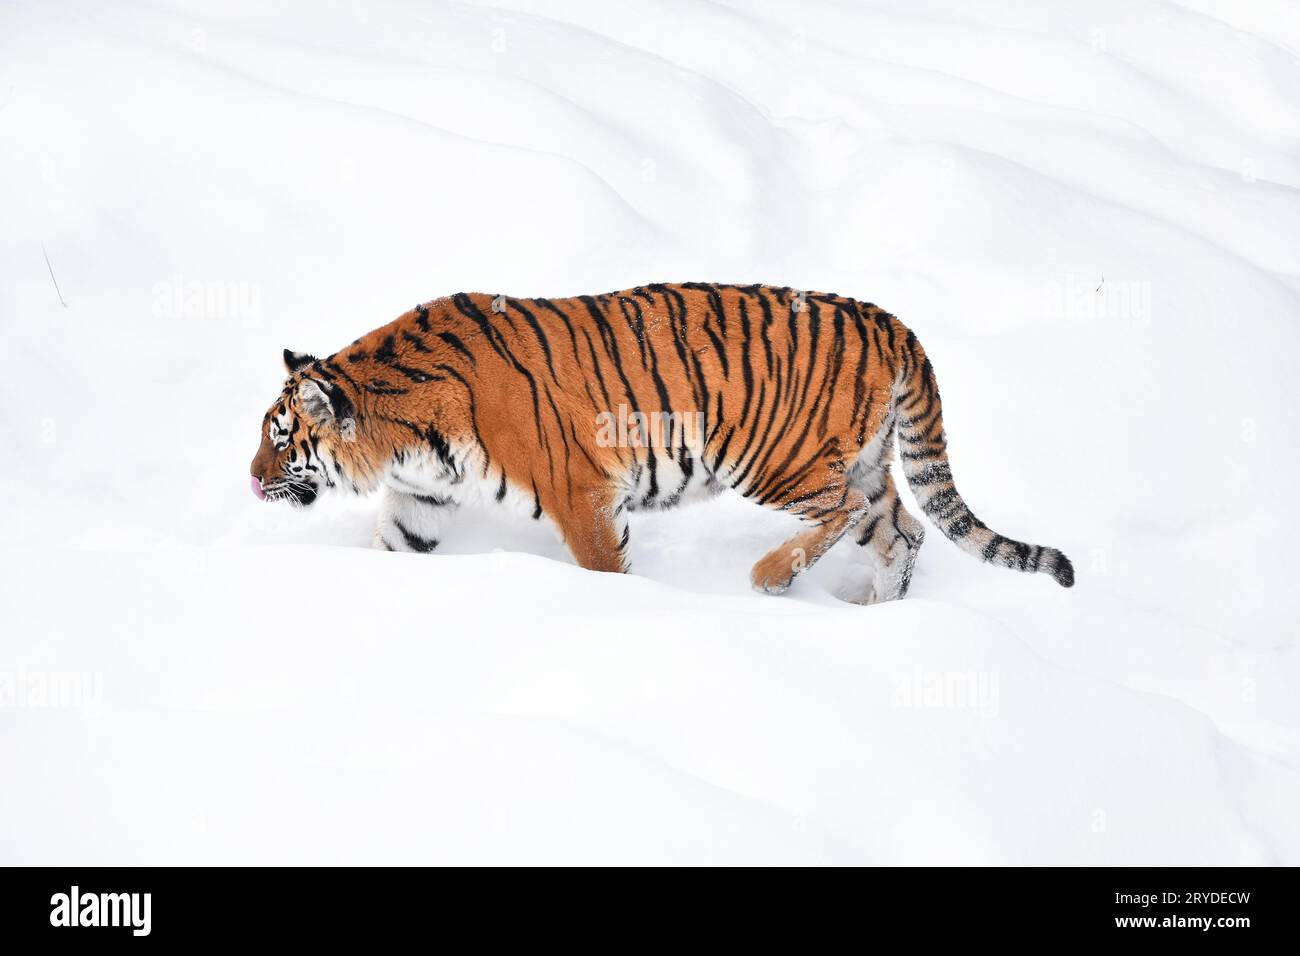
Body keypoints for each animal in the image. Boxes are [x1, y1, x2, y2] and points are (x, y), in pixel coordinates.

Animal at [249, 283, 1074, 602]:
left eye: (283, 439)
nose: (251, 480)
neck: (407, 436)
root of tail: (889, 320)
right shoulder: (421, 498)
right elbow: (394, 547)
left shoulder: (580, 494)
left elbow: (604, 569)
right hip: (868, 467)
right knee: (904, 531)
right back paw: (877, 614)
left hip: (776, 459)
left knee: (842, 513)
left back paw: (770, 577)